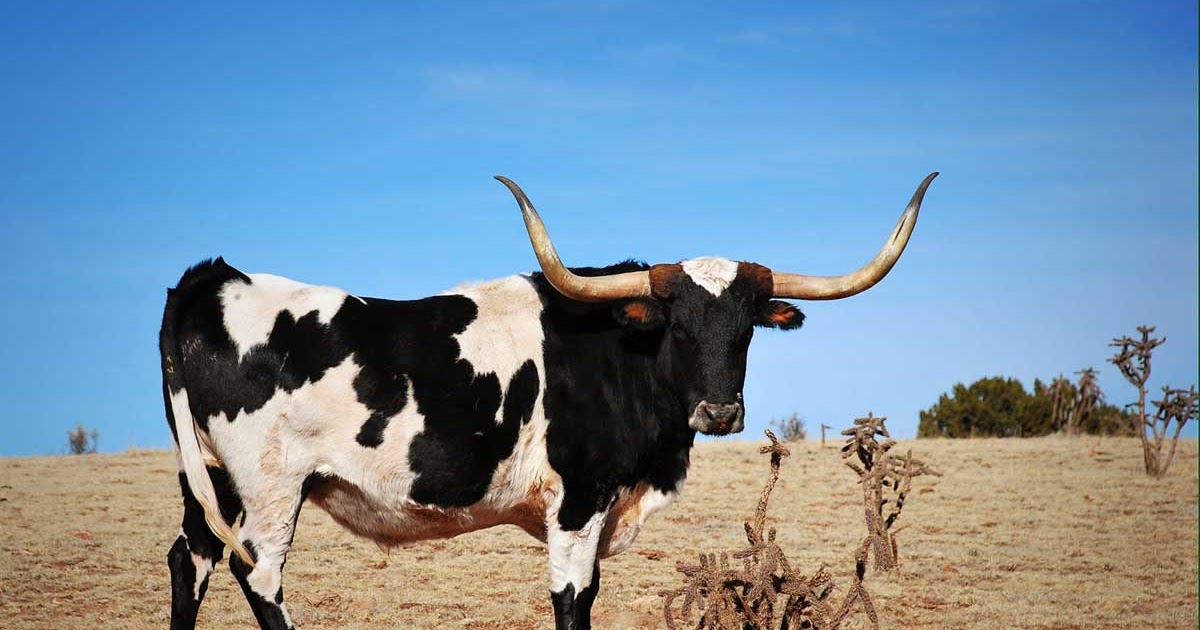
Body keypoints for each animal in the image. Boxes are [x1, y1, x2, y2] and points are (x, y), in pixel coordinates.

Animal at [160, 173, 936, 629]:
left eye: (745, 328)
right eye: (678, 325)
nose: (719, 414)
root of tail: (214, 279)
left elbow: (587, 595)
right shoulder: (578, 499)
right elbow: (569, 596)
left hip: (212, 481)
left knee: (190, 560)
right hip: (269, 487)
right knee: (259, 573)